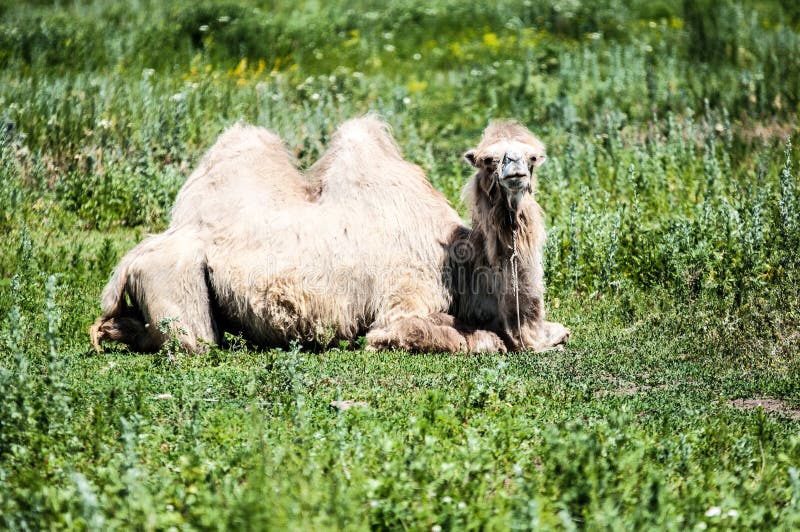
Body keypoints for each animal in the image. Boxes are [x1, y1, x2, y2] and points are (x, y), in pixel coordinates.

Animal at [90, 116, 569, 354]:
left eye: (533, 157)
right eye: (487, 159)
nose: (514, 170)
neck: (460, 262)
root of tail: (129, 260)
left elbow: (556, 333)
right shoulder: (404, 300)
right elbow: (473, 339)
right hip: (172, 276)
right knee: (192, 341)